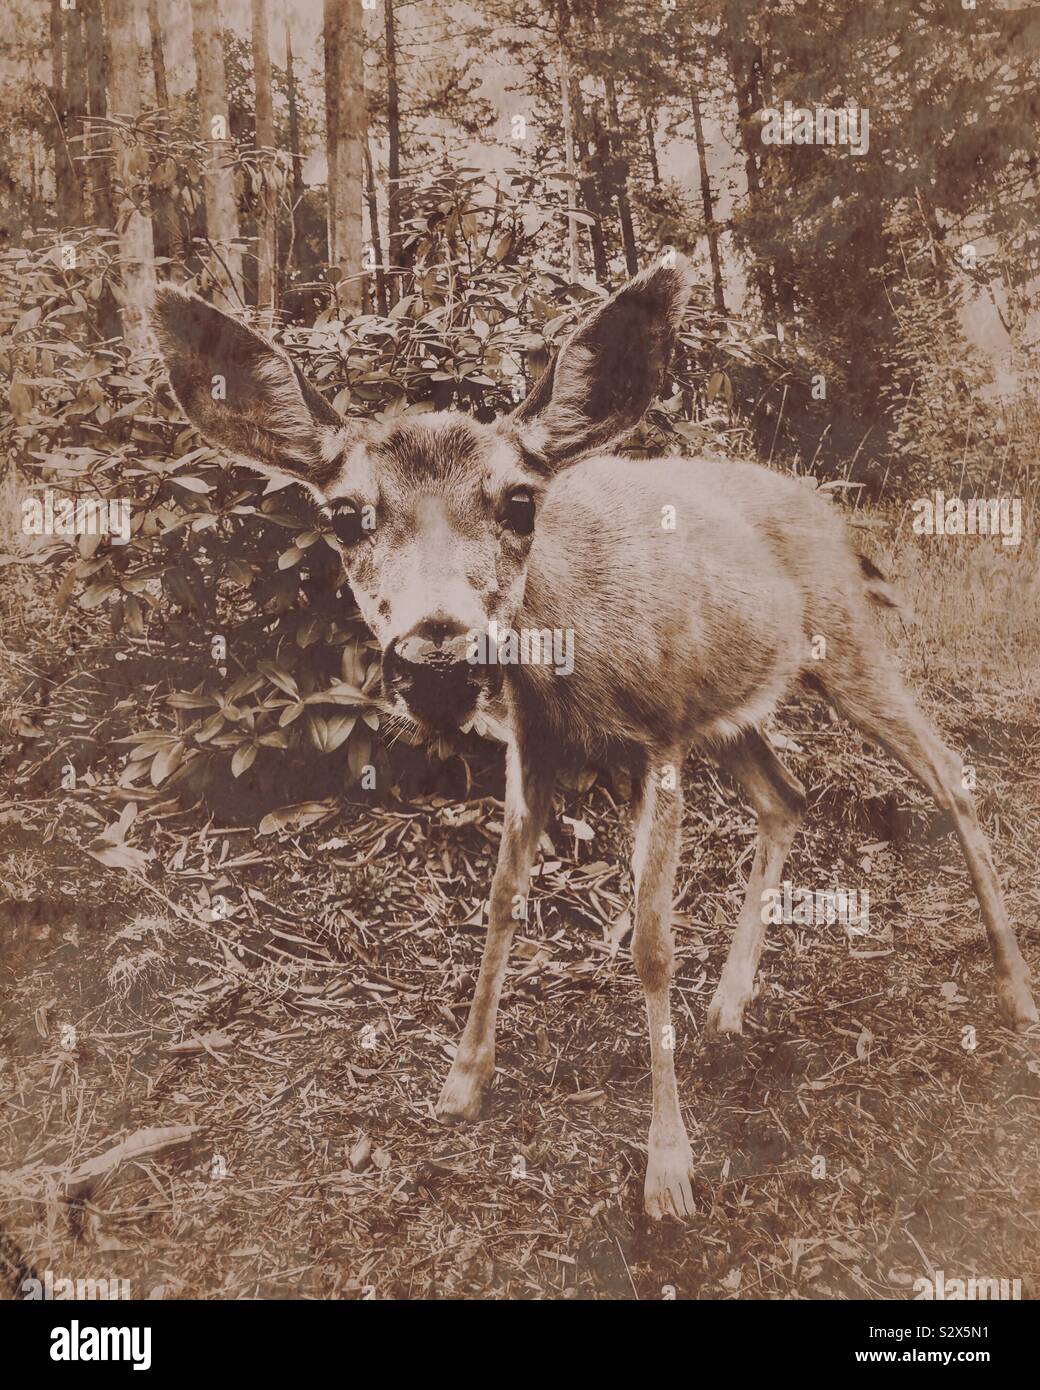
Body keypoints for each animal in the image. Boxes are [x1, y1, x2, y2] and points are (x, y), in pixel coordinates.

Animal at [152, 257, 1037, 1221]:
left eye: (518, 501)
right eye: (347, 515)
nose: (437, 654)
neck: (562, 652)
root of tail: (831, 513)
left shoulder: (658, 737)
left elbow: (650, 942)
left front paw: (669, 1172)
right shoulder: (537, 747)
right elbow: (502, 897)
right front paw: (462, 1080)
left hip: (843, 643)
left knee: (948, 771)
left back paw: (1013, 990)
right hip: (729, 707)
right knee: (788, 796)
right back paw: (730, 1007)